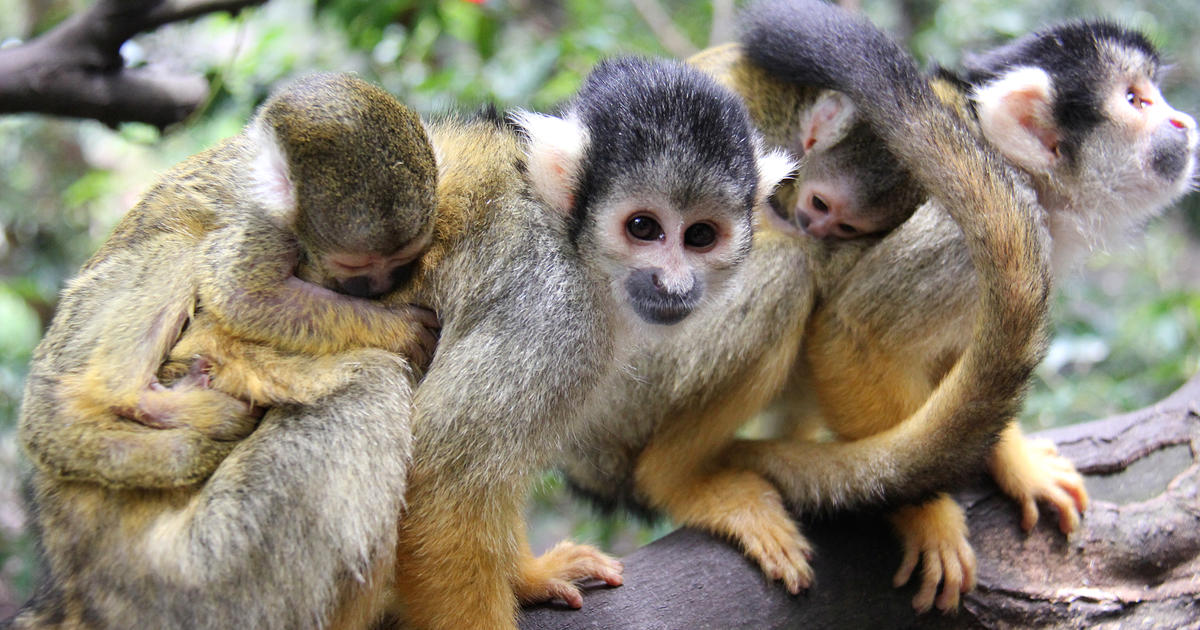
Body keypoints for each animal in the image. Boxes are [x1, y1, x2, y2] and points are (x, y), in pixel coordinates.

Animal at [8, 73, 439, 629]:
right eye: (356, 265)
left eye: (402, 262)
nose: (377, 287)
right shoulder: (263, 224)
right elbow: (244, 296)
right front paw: (399, 329)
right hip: (76, 335)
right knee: (176, 246)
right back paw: (131, 397)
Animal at [371, 57, 796, 630]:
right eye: (643, 227)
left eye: (701, 236)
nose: (674, 285)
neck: (568, 239)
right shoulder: (551, 313)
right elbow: (441, 482)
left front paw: (527, 576)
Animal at [734, 0, 1198, 612]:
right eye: (1135, 100)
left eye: (1153, 95)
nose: (1184, 123)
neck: (1013, 170)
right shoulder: (959, 239)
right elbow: (854, 334)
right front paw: (925, 513)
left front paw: (1015, 460)